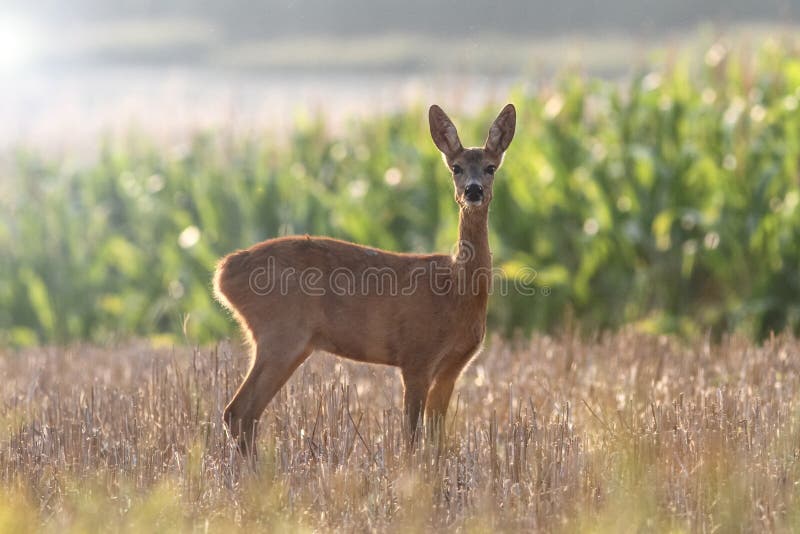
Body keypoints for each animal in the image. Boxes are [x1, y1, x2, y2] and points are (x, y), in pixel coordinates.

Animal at [213, 103, 516, 454]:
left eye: (491, 167)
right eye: (456, 168)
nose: (473, 190)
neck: (457, 291)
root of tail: (222, 273)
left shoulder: (453, 367)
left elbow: (436, 441)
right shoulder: (416, 355)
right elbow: (411, 437)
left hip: (290, 342)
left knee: (244, 414)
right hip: (280, 333)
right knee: (238, 411)